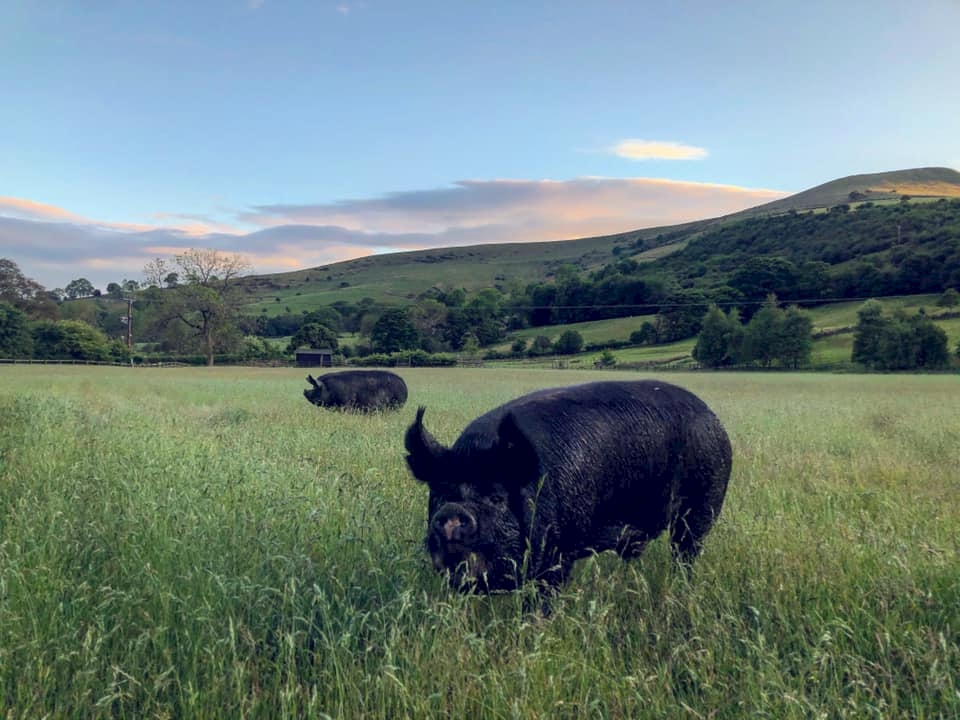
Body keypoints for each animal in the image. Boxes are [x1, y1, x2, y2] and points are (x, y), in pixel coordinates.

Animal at [404, 380, 731, 605]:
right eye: (441, 494)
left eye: (496, 497)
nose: (452, 512)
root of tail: (712, 416)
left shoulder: (557, 551)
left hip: (704, 503)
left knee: (686, 549)